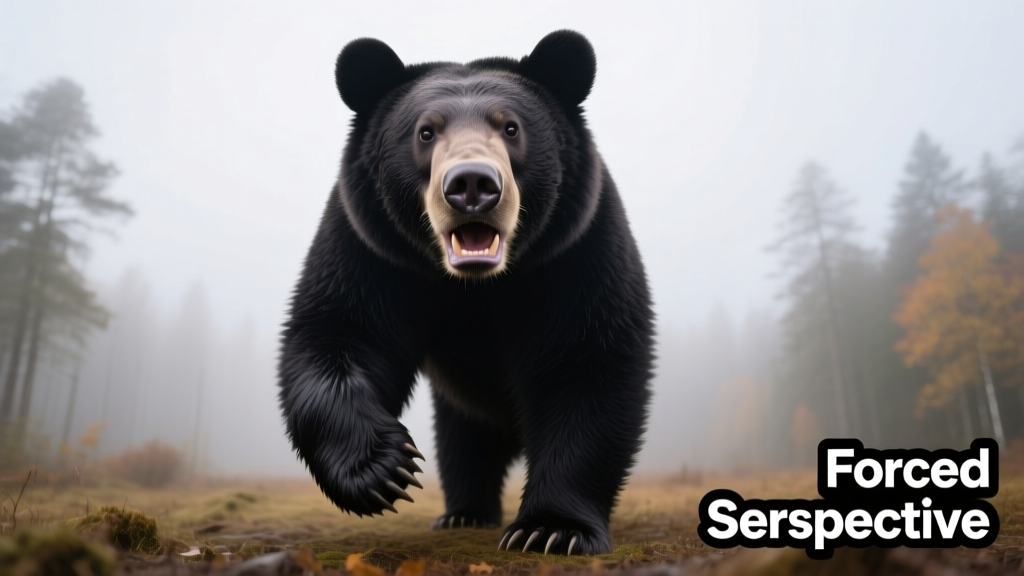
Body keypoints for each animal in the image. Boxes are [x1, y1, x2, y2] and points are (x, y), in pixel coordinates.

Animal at [278, 30, 653, 556]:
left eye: (511, 127)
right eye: (425, 132)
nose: (472, 184)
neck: (477, 286)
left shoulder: (576, 252)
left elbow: (586, 366)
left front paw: (551, 529)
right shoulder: (372, 249)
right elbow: (339, 332)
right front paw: (381, 469)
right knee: (464, 439)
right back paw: (463, 512)